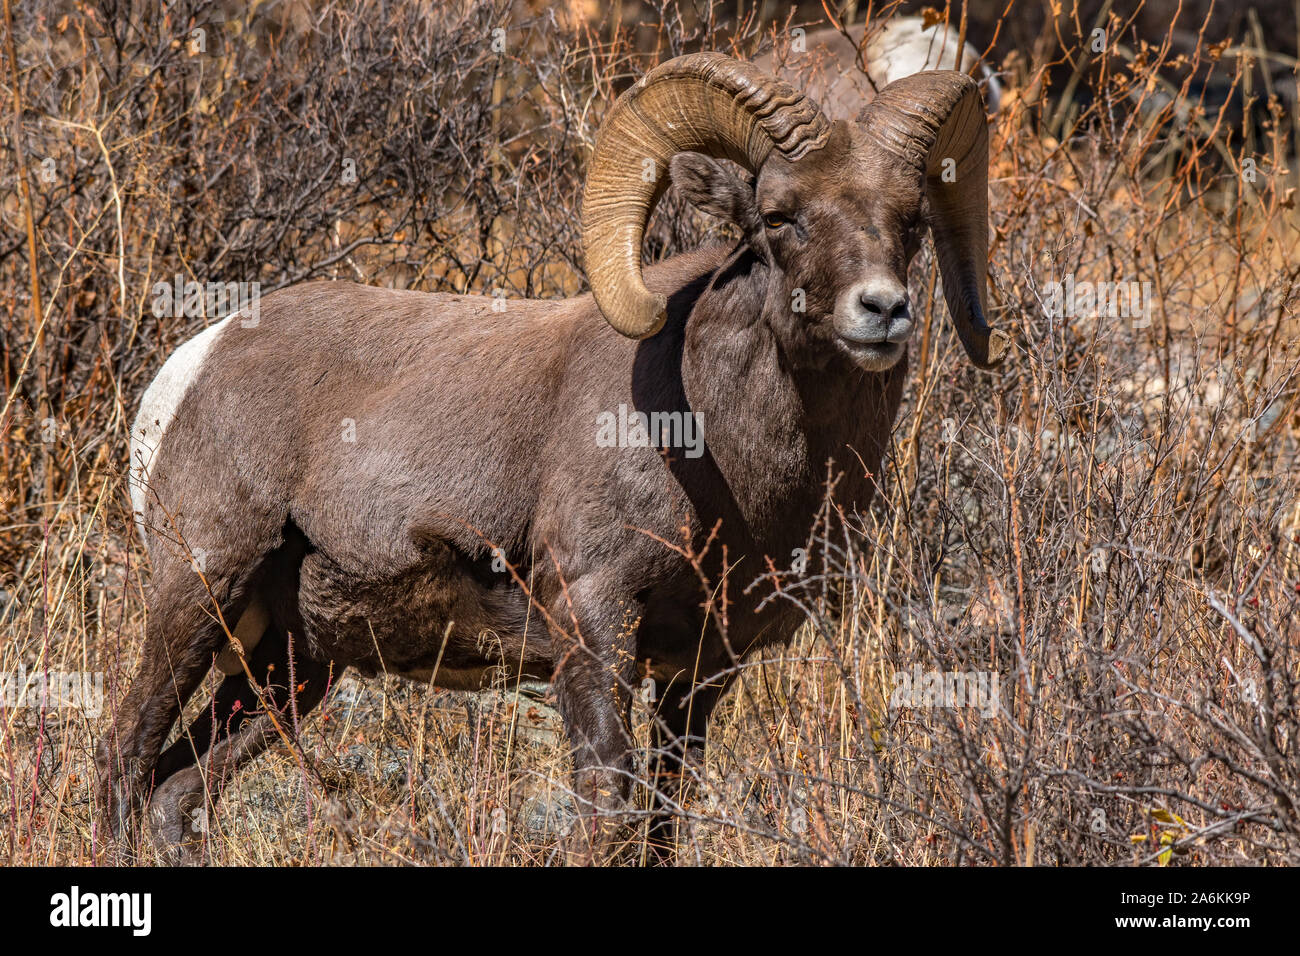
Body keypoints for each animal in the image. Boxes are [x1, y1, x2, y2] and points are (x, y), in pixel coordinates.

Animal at [99, 52, 1006, 862]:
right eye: (780, 215)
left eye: (913, 220)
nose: (881, 310)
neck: (736, 472)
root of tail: (192, 364)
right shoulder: (594, 619)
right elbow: (609, 807)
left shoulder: (702, 669)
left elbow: (664, 818)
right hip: (202, 588)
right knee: (124, 755)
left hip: (291, 666)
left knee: (176, 790)